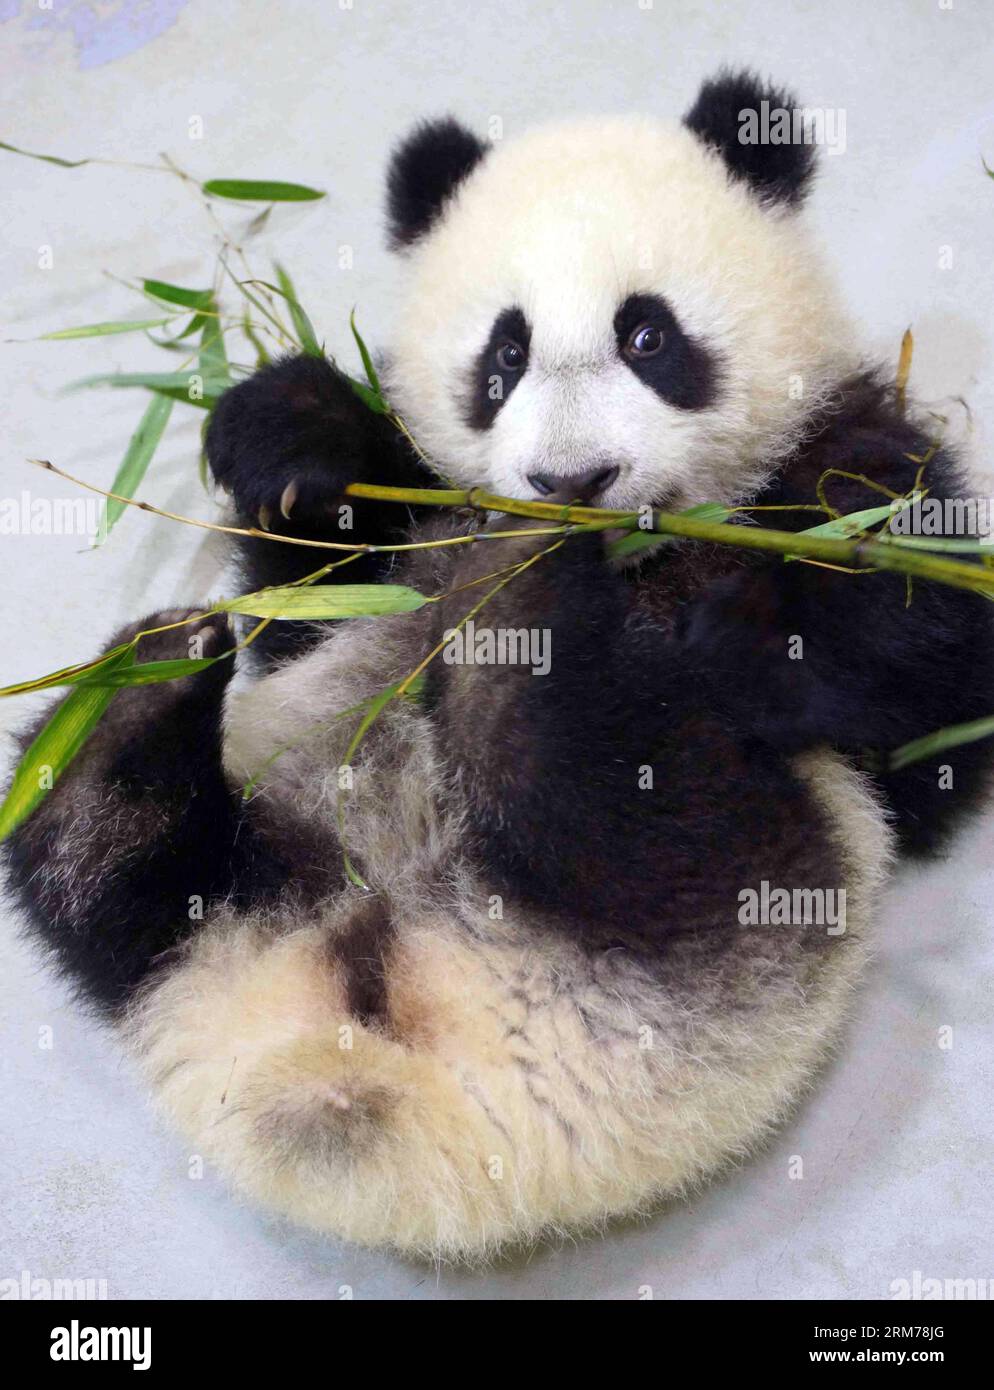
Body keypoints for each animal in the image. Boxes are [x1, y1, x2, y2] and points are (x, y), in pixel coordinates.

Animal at [7, 70, 994, 1263]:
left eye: (648, 335)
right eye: (504, 356)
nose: (569, 481)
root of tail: (363, 1068)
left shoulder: (837, 468)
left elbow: (924, 680)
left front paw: (734, 627)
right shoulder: (412, 528)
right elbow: (310, 583)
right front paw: (291, 425)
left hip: (720, 905)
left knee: (609, 799)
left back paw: (519, 630)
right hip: (247, 878)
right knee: (115, 885)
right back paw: (140, 701)